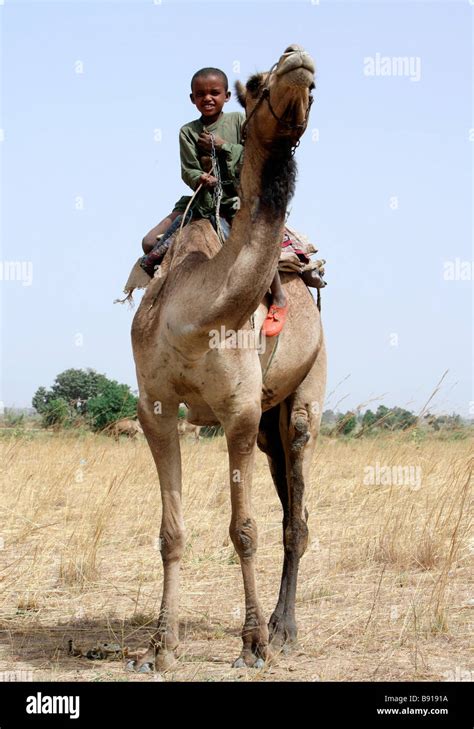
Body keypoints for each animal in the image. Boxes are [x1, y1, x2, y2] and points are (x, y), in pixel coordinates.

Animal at [130, 44, 326, 672]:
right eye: (259, 83)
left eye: (315, 88)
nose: (298, 58)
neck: (193, 316)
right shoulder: (155, 407)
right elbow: (170, 533)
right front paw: (160, 647)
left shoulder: (237, 410)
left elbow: (245, 530)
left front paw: (253, 644)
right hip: (267, 423)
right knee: (289, 495)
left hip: (305, 391)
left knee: (295, 514)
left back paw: (284, 629)